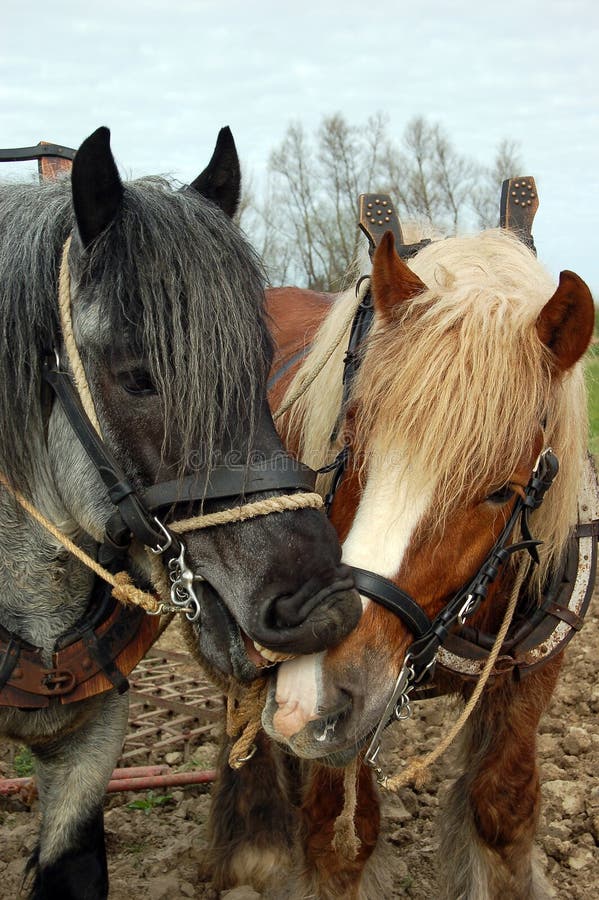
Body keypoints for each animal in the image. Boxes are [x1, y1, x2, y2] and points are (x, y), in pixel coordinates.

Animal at [208, 224, 596, 899]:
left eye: (504, 490)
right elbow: (340, 840)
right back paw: (252, 838)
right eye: (353, 434)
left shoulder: (532, 673)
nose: (315, 691)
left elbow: (502, 810)